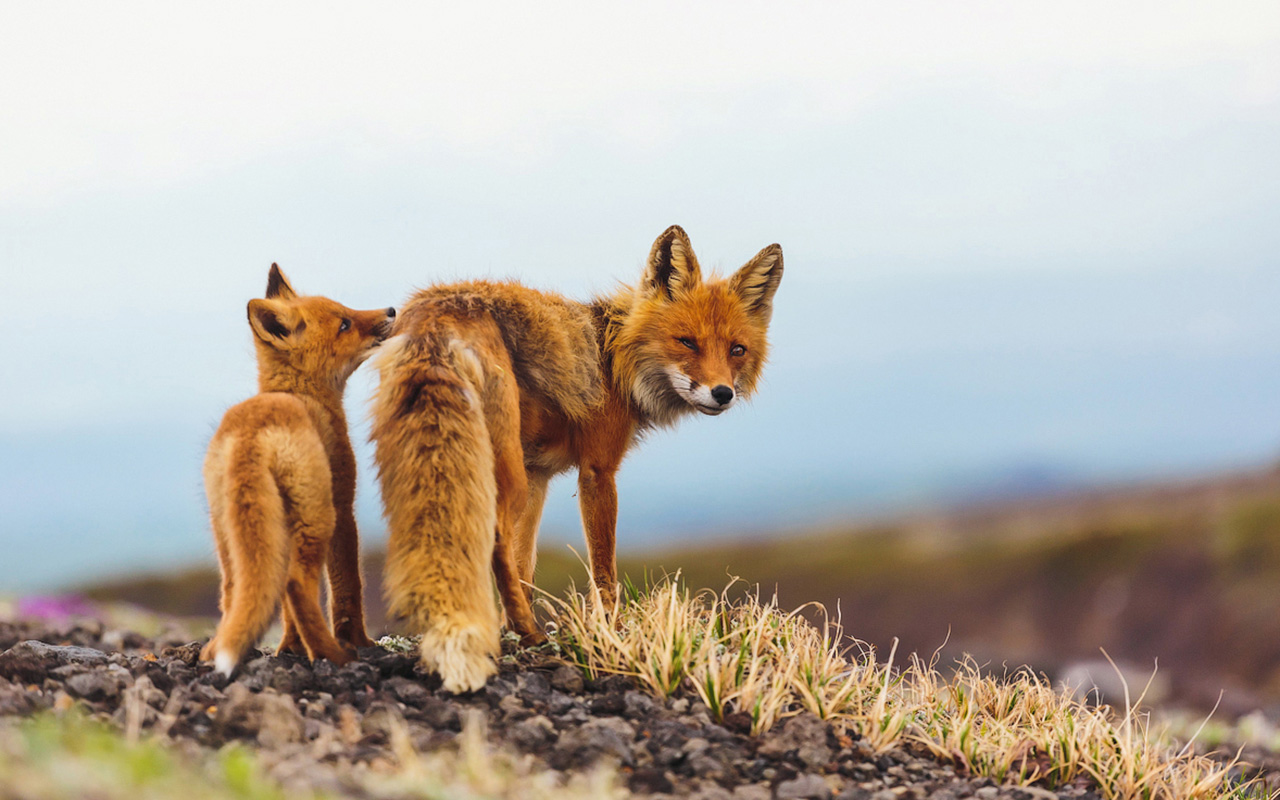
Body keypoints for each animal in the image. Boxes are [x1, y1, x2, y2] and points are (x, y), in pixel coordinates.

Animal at [200, 264, 395, 676]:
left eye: (346, 310)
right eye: (344, 323)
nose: (391, 310)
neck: (301, 393)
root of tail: (250, 435)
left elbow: (286, 615)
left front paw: (289, 647)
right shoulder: (344, 506)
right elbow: (347, 587)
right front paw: (358, 641)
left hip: (229, 533)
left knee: (236, 592)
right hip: (316, 517)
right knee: (296, 585)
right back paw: (334, 655)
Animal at [371, 225, 782, 691]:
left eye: (736, 350)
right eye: (687, 342)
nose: (722, 393)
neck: (613, 360)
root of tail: (436, 306)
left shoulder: (538, 475)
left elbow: (525, 565)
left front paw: (514, 630)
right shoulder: (597, 471)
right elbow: (603, 573)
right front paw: (611, 635)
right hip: (500, 472)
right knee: (493, 539)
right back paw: (528, 634)